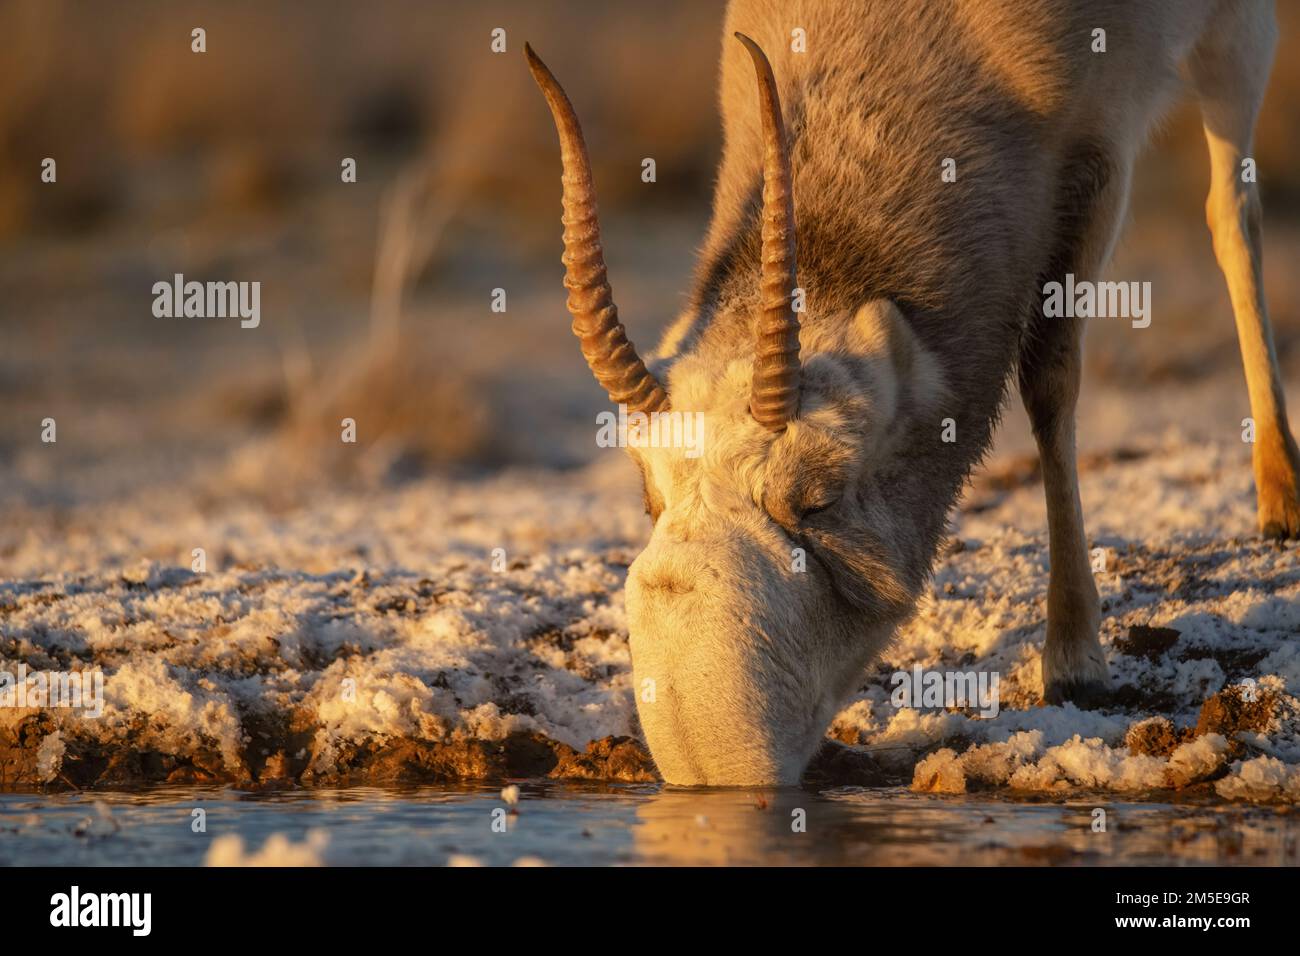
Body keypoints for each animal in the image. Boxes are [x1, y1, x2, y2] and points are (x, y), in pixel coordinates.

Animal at [525, 0, 1298, 786]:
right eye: (648, 496)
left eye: (820, 496)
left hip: (1237, 40)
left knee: (1232, 211)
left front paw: (1076, 662)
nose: (708, 755)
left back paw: (1281, 495)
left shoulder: (1096, 153)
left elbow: (1051, 377)